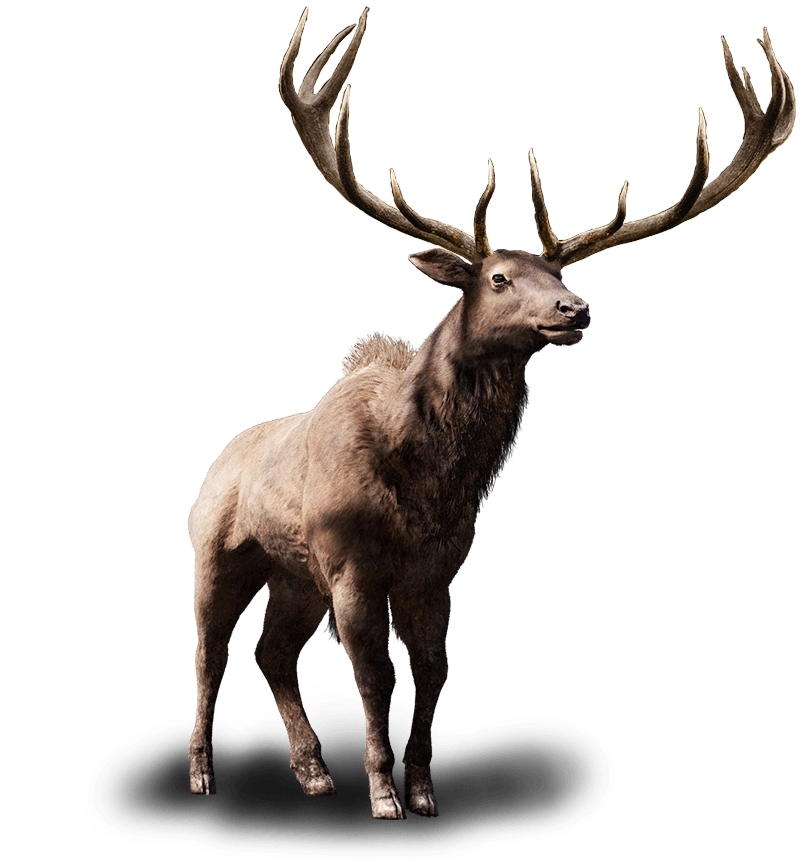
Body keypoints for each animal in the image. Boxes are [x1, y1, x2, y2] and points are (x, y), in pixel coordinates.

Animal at [188, 7, 794, 819]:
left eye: (560, 276)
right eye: (499, 278)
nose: (576, 308)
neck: (421, 485)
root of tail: (223, 454)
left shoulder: (437, 573)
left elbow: (431, 678)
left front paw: (422, 791)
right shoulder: (348, 563)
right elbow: (375, 681)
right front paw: (384, 795)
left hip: (294, 573)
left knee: (273, 656)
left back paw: (312, 773)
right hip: (218, 550)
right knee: (211, 658)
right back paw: (203, 774)